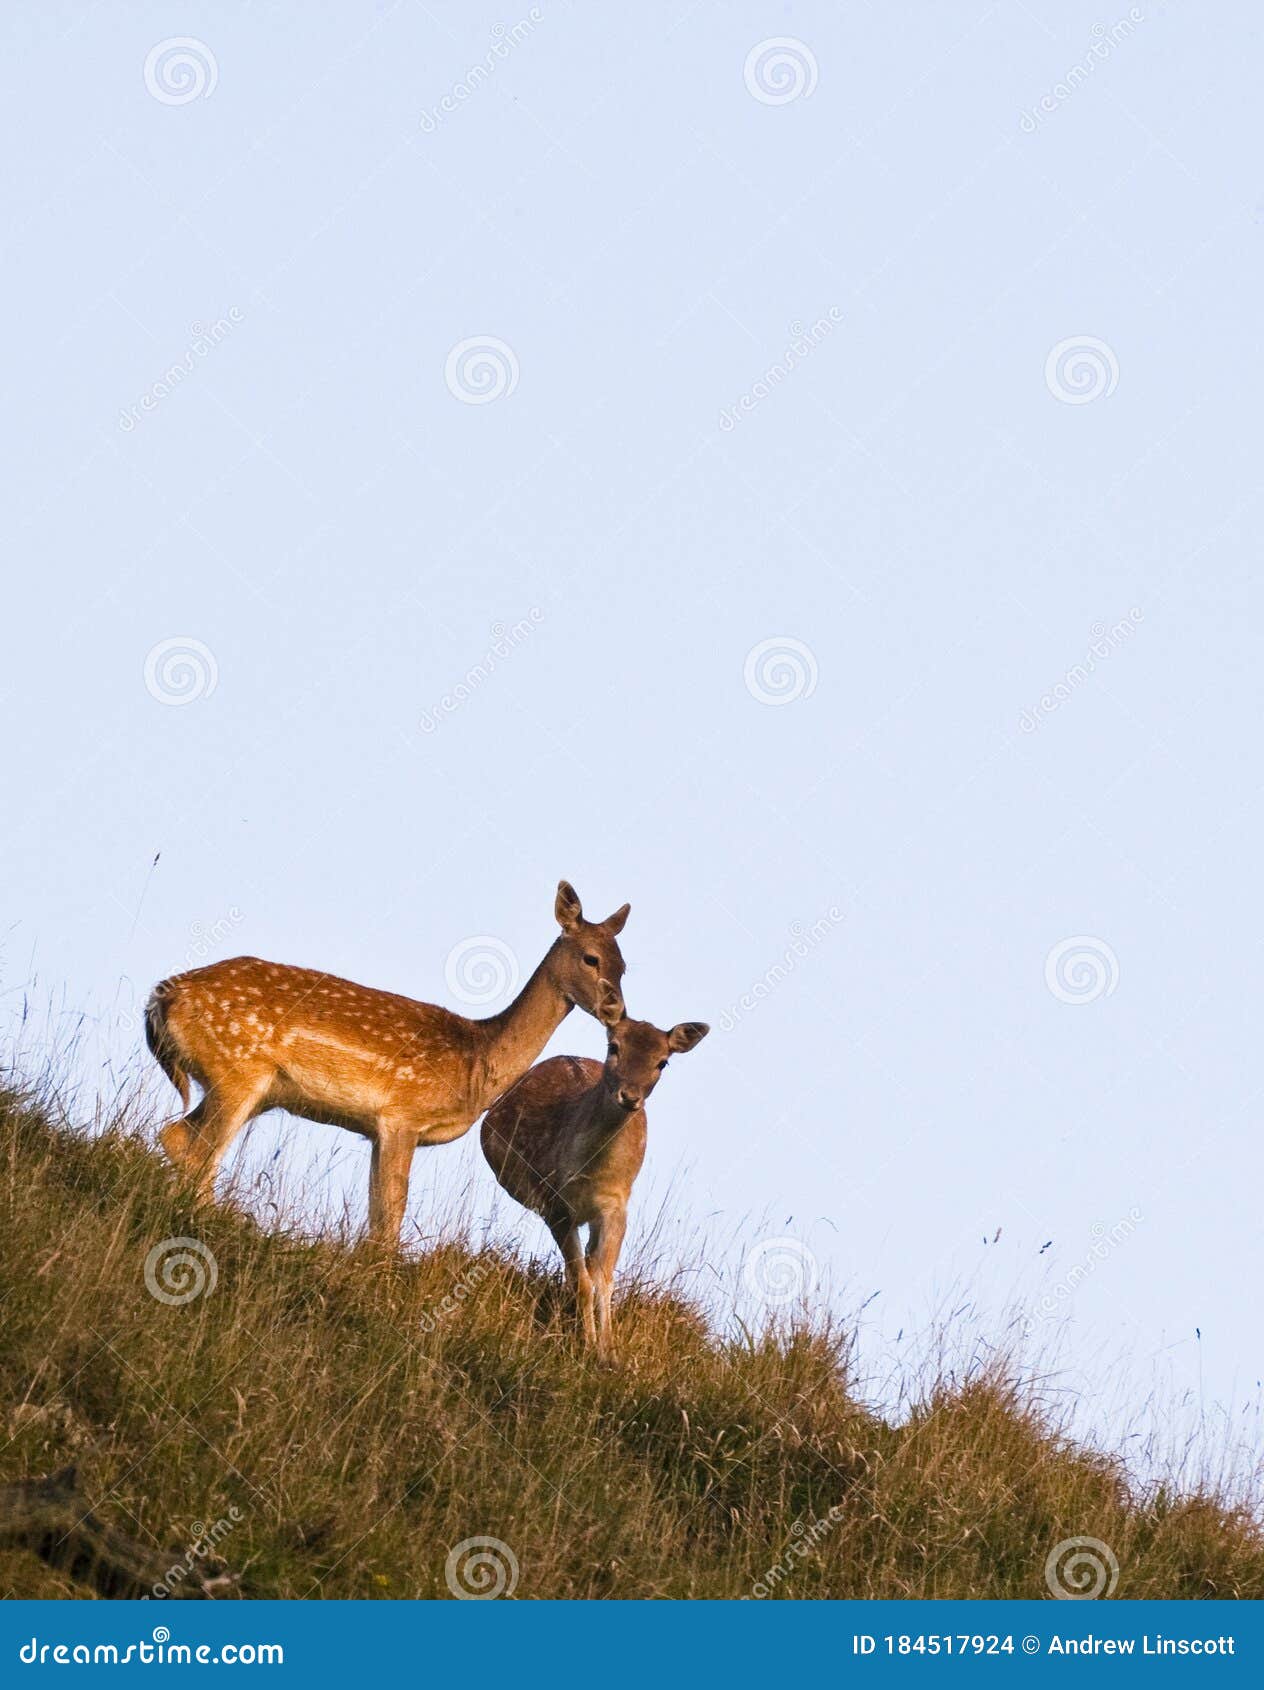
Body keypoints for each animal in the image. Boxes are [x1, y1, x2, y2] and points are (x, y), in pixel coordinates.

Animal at [145, 881, 629, 1248]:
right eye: (590, 957)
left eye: (624, 965)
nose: (616, 1009)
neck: (477, 1062)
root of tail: (163, 996)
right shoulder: (401, 1115)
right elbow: (391, 1213)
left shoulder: (377, 1129)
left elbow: (377, 1212)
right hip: (237, 1070)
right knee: (198, 1152)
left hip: (253, 1089)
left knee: (176, 1137)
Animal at [481, 983, 708, 1358]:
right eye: (614, 1047)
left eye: (662, 1062)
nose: (630, 1096)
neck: (589, 1172)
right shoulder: (554, 1204)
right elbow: (582, 1282)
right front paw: (586, 1347)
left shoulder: (616, 1205)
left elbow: (605, 1279)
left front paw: (609, 1351)